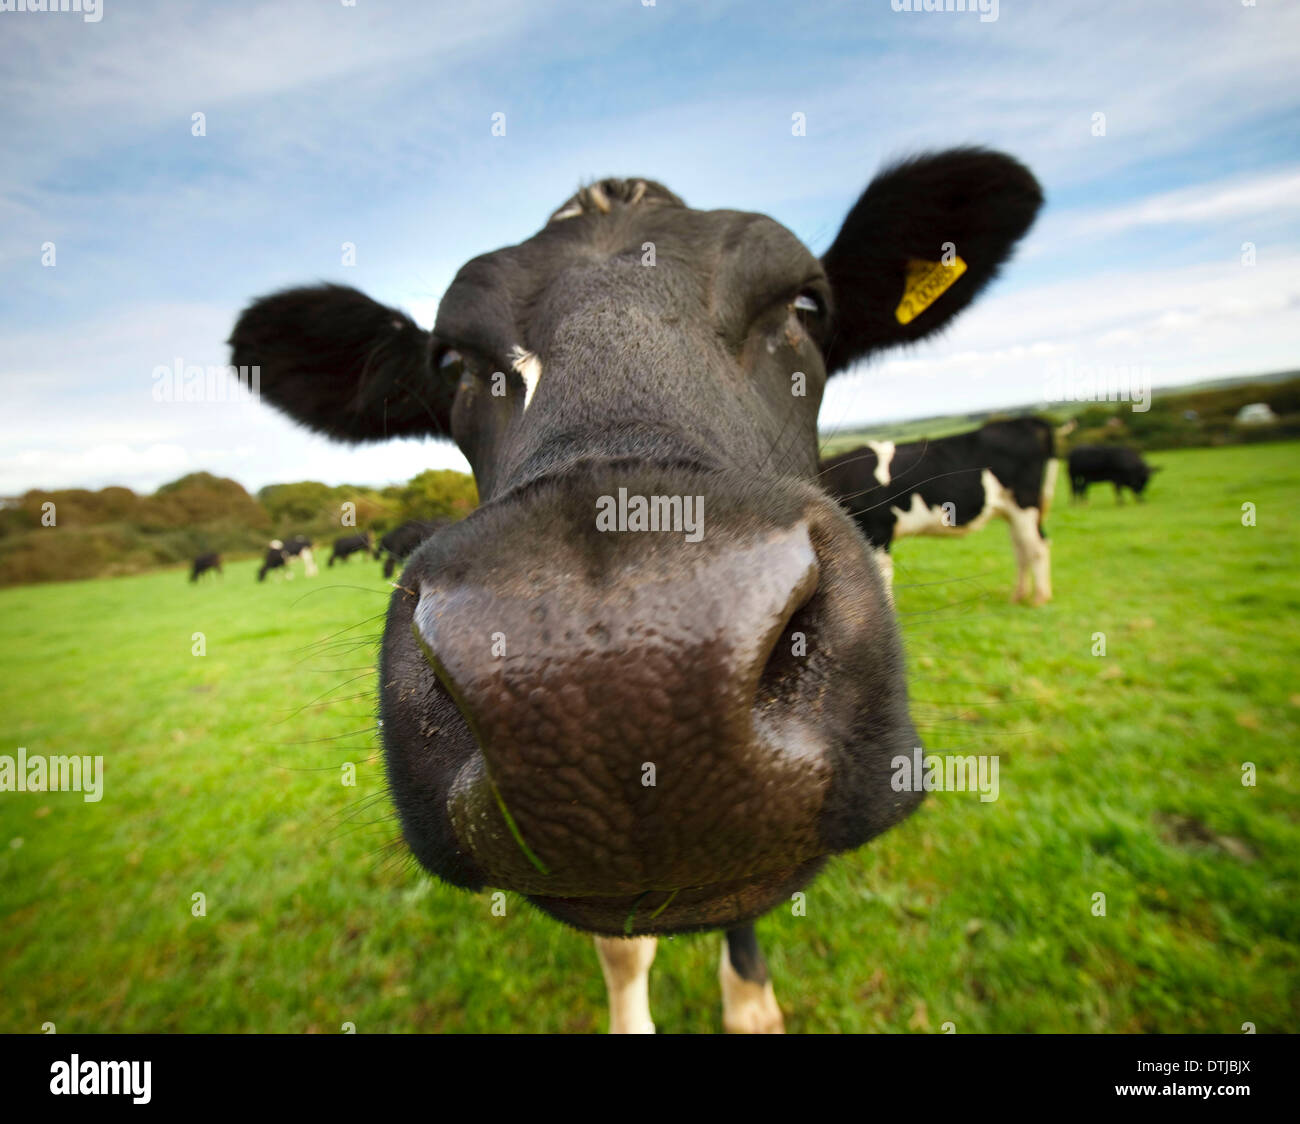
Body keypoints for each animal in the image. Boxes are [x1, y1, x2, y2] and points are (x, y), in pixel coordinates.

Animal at [820, 417, 1057, 605]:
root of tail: (1026, 421)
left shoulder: (878, 530)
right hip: (1012, 512)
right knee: (1021, 547)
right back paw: (1019, 595)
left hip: (1025, 504)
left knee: (1037, 546)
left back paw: (1039, 598)